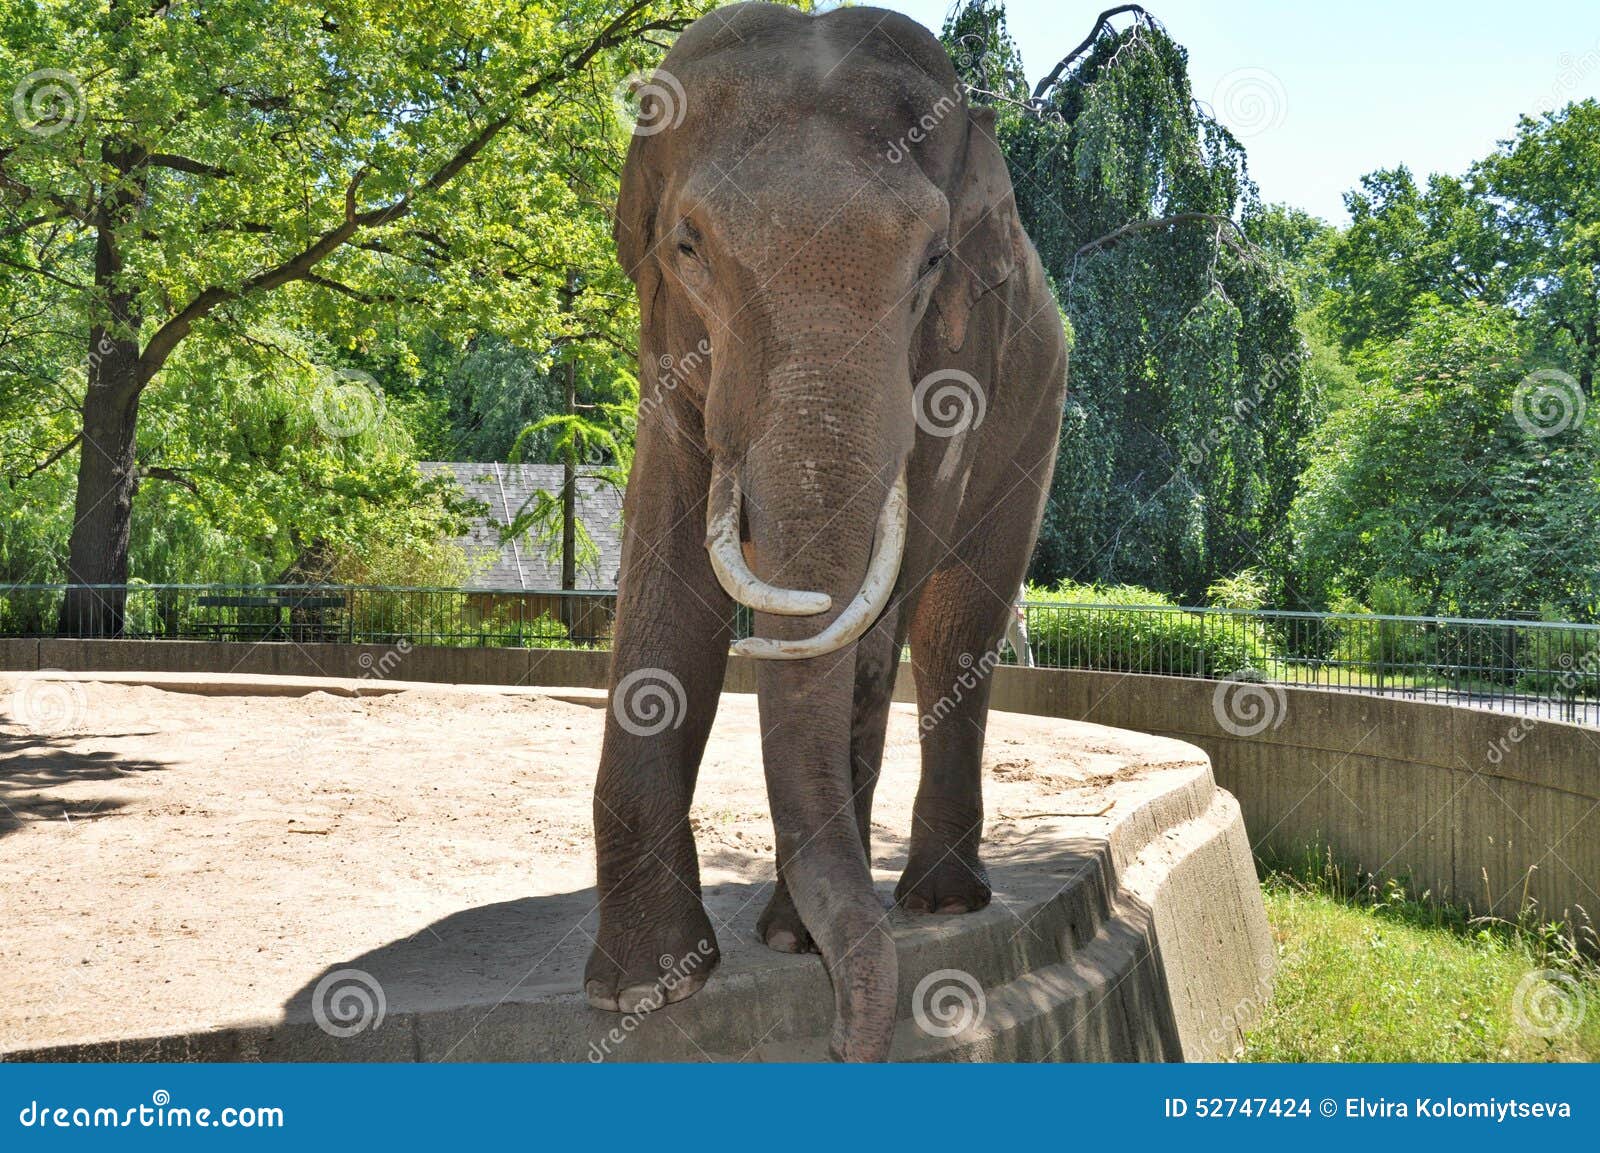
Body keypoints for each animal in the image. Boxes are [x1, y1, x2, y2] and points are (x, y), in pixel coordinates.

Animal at [586, 2, 1068, 1061]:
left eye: (931, 261)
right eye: (689, 247)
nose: (847, 1041)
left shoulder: (958, 362)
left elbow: (888, 596)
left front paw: (790, 943)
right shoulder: (666, 356)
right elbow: (663, 566)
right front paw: (641, 987)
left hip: (1040, 413)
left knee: (957, 625)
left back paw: (936, 902)